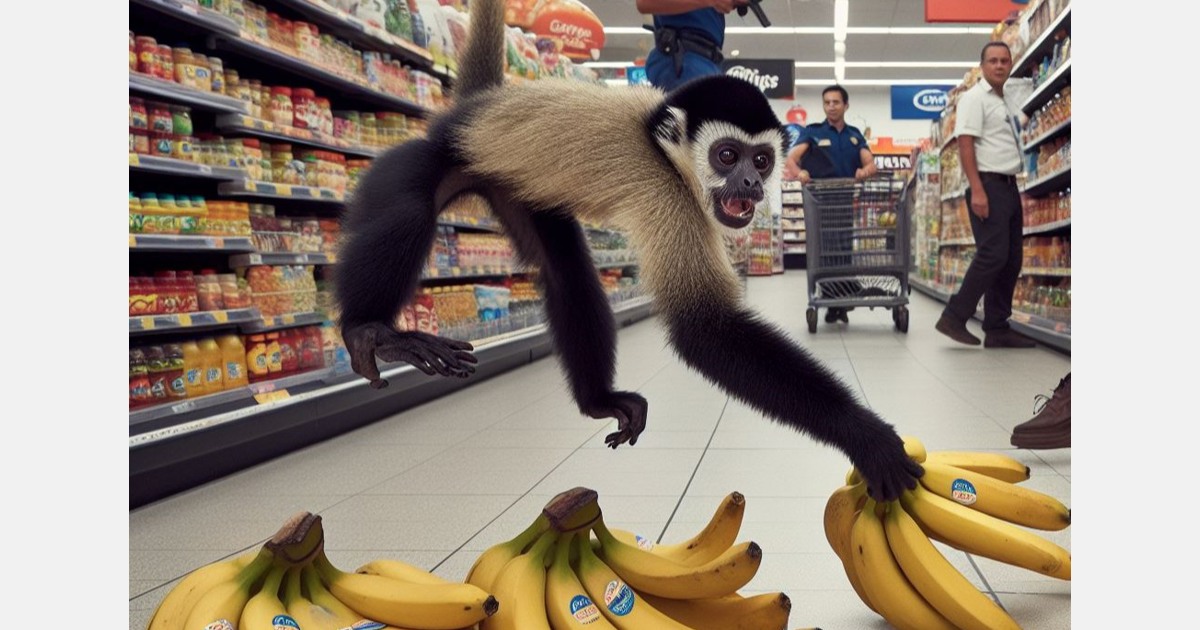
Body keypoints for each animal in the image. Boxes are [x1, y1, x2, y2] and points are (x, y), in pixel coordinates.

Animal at [333, 0, 923, 501]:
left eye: (761, 161)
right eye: (727, 156)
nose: (753, 187)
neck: (664, 146)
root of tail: (478, 111)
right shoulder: (669, 196)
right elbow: (702, 327)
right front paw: (864, 435)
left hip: (514, 183)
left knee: (566, 270)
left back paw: (598, 400)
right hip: (430, 154)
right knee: (408, 207)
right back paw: (368, 331)